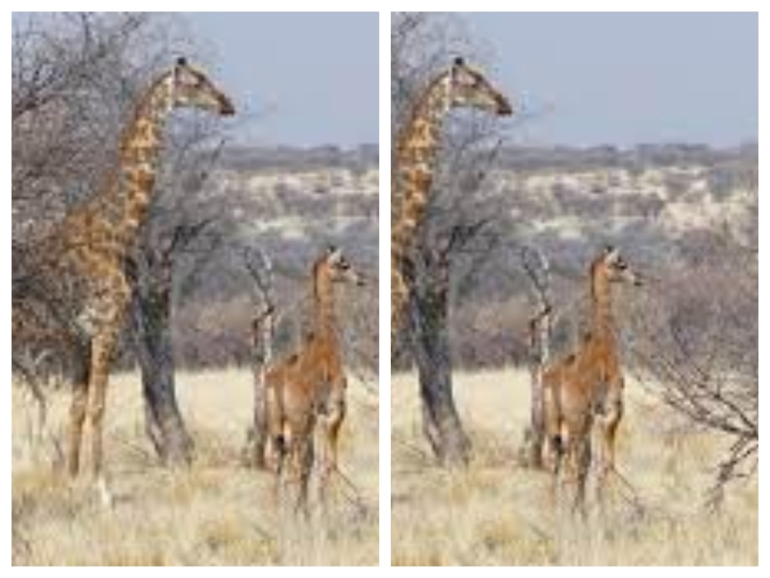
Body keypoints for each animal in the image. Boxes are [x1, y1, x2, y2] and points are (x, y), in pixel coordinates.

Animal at [13, 58, 234, 504]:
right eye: (195, 82)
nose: (227, 104)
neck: (115, 231)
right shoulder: (107, 327)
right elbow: (98, 407)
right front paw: (103, 491)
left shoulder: (77, 337)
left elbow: (78, 408)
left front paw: (71, 483)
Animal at [261, 246, 365, 515]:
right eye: (343, 263)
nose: (361, 279)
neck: (325, 340)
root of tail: (276, 384)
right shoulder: (334, 409)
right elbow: (327, 462)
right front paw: (327, 510)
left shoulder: (319, 415)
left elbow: (320, 462)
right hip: (300, 420)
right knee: (297, 461)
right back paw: (299, 511)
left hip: (278, 420)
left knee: (279, 458)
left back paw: (280, 511)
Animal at [541, 246, 642, 515]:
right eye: (620, 264)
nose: (638, 279)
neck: (603, 340)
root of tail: (553, 383)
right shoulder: (612, 410)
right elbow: (605, 462)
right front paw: (604, 510)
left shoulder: (596, 415)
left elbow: (597, 462)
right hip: (577, 420)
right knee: (574, 460)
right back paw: (576, 511)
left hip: (556, 419)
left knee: (557, 458)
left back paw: (557, 510)